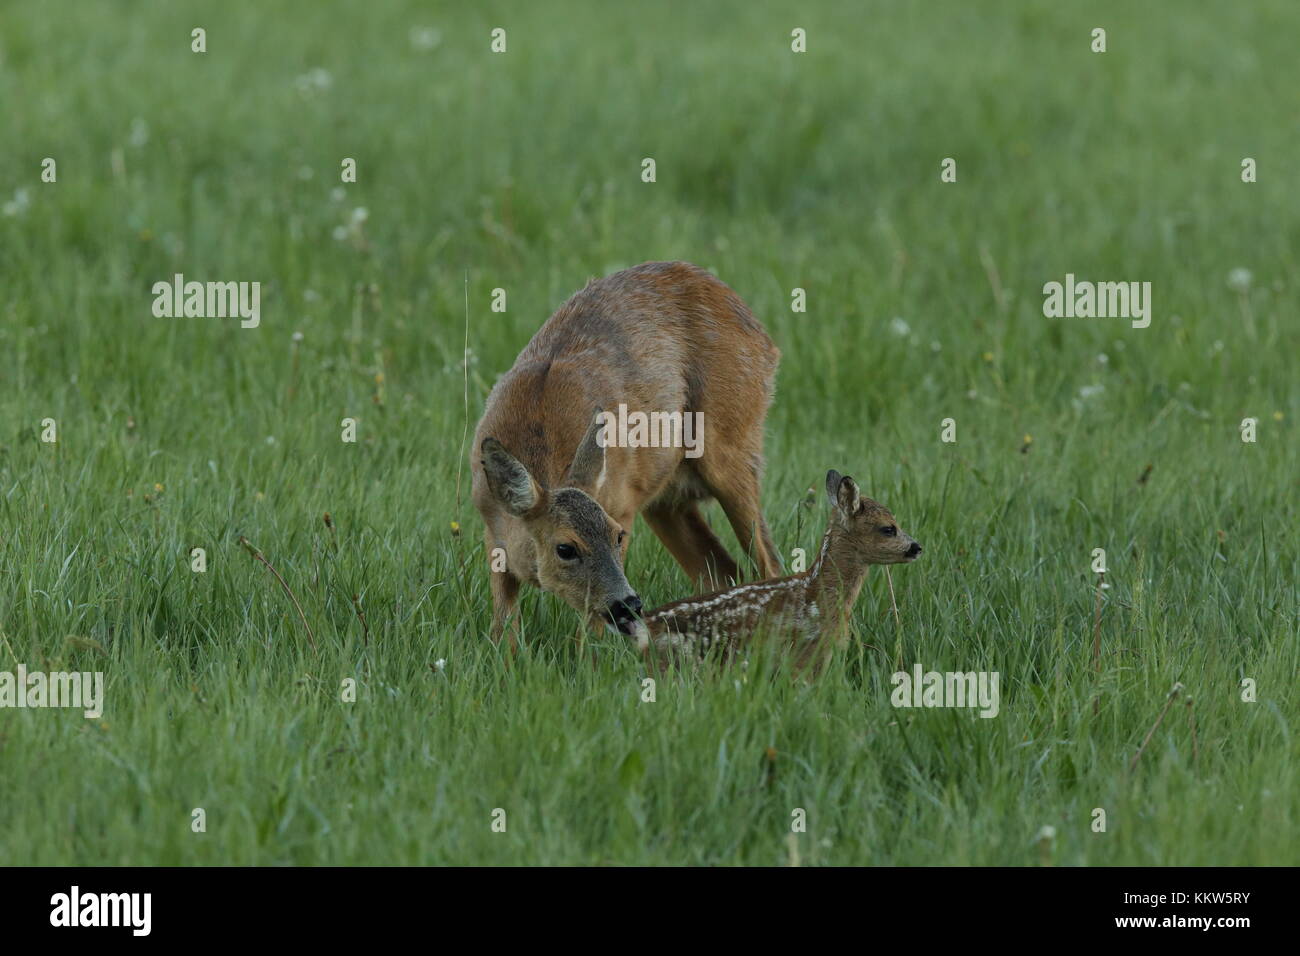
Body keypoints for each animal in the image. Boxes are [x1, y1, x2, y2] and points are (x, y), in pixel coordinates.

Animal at [471, 261, 781, 649]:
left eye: (617, 537)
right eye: (565, 548)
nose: (628, 604)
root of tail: (763, 337)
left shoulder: (621, 504)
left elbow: (589, 630)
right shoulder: (491, 532)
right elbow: (504, 628)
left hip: (732, 449)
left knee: (770, 565)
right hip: (665, 499)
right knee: (723, 572)